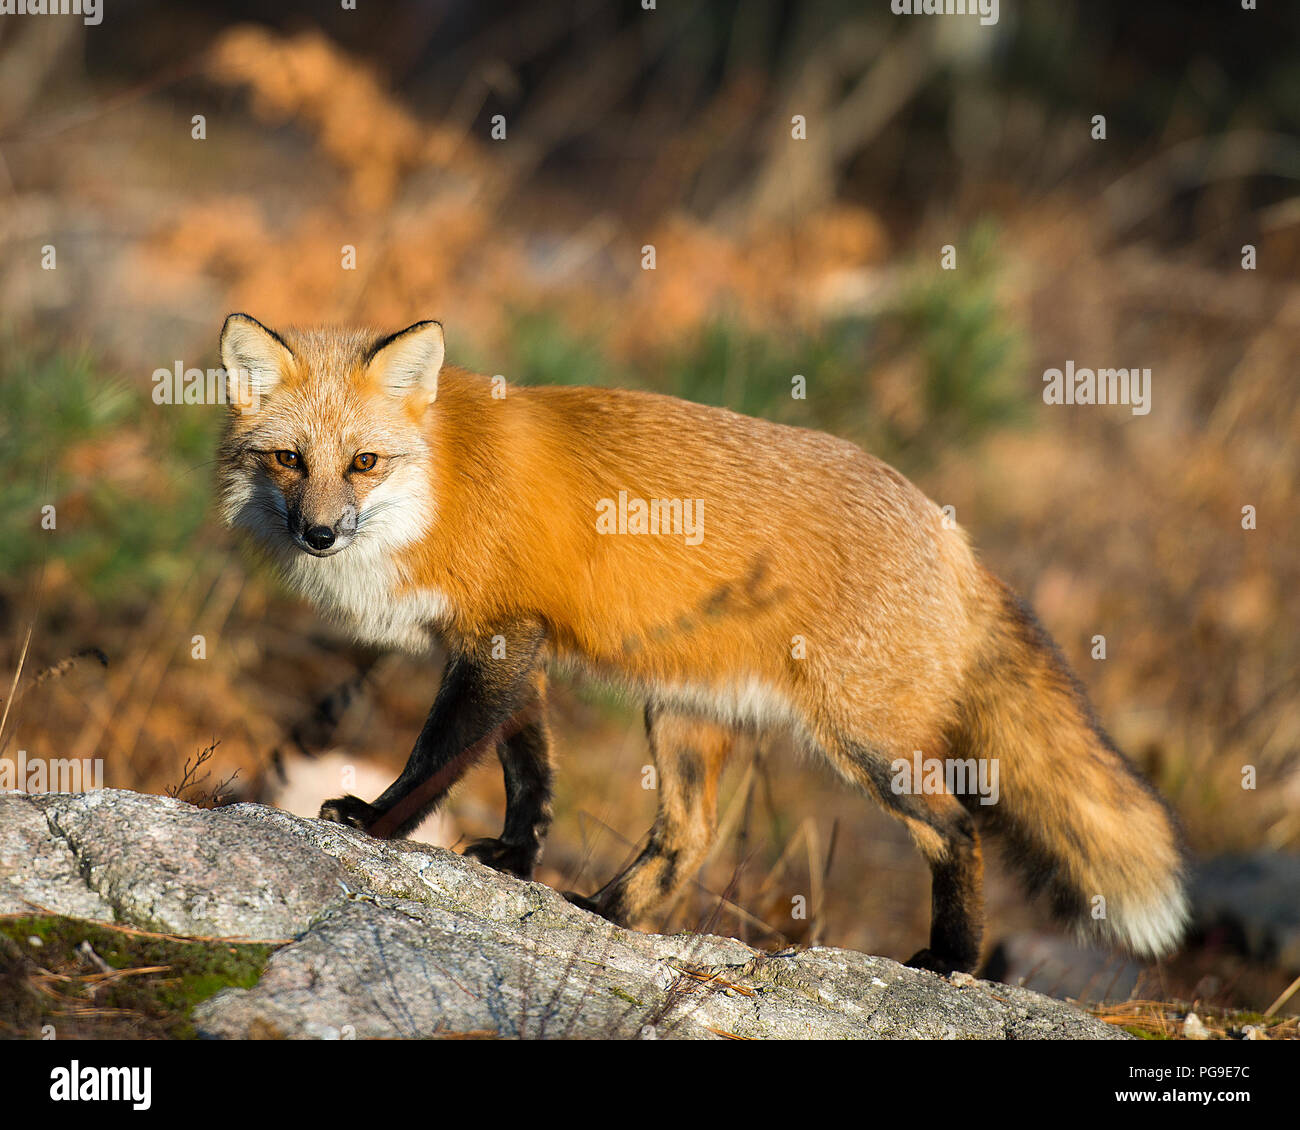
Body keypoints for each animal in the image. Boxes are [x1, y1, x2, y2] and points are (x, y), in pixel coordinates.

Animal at [216, 312, 1188, 975]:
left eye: (364, 463)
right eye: (290, 460)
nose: (318, 535)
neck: (445, 485)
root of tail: (952, 534)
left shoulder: (496, 640)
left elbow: (439, 758)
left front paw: (377, 825)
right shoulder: (513, 646)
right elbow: (531, 773)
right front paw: (518, 860)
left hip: (865, 742)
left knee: (959, 827)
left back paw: (951, 959)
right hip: (685, 717)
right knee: (692, 837)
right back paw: (603, 913)